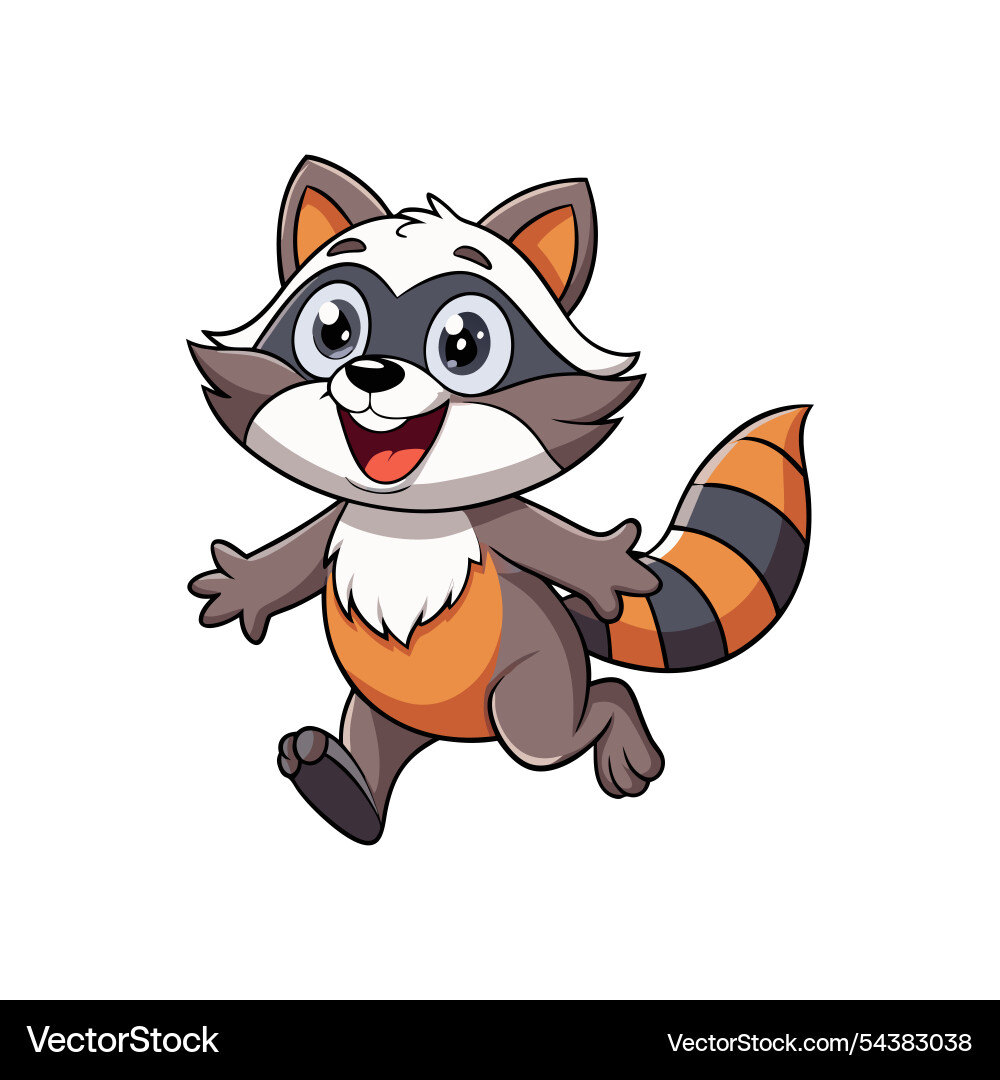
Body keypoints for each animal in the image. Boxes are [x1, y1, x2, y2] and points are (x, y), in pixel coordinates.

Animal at [189, 157, 812, 844]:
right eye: (334, 329)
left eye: (464, 344)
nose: (372, 372)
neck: (407, 518)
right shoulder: (336, 522)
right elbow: (294, 561)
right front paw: (242, 588)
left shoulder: (502, 523)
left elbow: (555, 544)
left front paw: (612, 568)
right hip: (380, 709)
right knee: (371, 748)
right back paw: (343, 796)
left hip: (531, 699)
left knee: (594, 705)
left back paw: (626, 752)